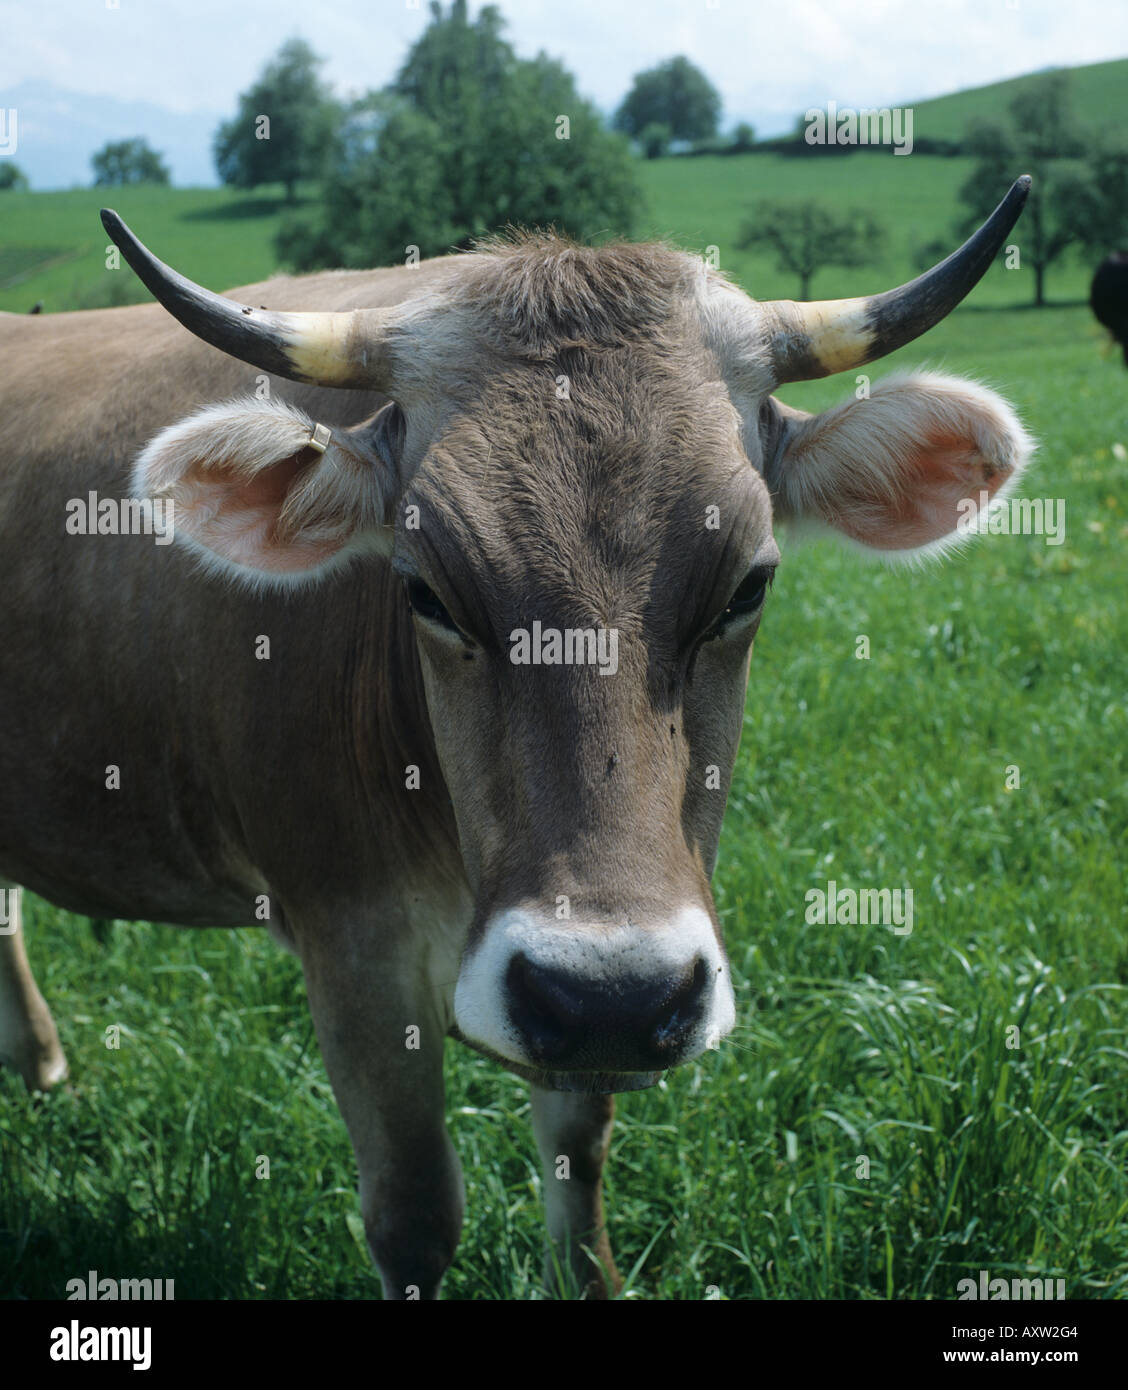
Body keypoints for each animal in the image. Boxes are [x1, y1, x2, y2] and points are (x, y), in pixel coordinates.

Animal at [0, 176, 1033, 1300]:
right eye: (424, 589)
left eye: (748, 585)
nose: (611, 991)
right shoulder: (350, 941)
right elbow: (415, 1214)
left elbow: (580, 1159)